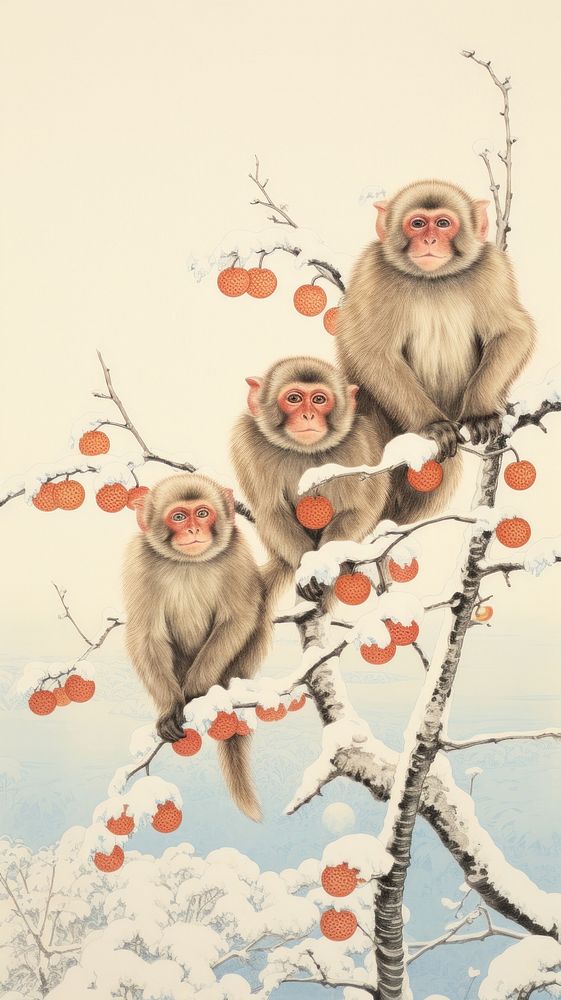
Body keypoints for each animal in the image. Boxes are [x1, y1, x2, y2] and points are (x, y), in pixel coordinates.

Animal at [122, 473, 272, 822]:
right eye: (179, 517)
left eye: (202, 513)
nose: (193, 530)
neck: (189, 562)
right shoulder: (139, 562)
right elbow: (146, 635)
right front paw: (170, 706)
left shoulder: (238, 554)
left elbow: (237, 618)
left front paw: (192, 692)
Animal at [230, 356, 390, 606]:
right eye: (294, 398)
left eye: (319, 399)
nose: (308, 415)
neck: (304, 451)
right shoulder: (247, 442)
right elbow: (271, 510)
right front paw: (307, 566)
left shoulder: (360, 445)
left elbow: (358, 509)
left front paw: (322, 562)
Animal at [336, 178, 536, 523]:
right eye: (417, 224)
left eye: (443, 223)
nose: (429, 239)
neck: (434, 279)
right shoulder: (372, 272)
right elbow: (370, 349)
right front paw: (432, 425)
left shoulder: (493, 268)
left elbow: (511, 332)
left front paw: (480, 411)